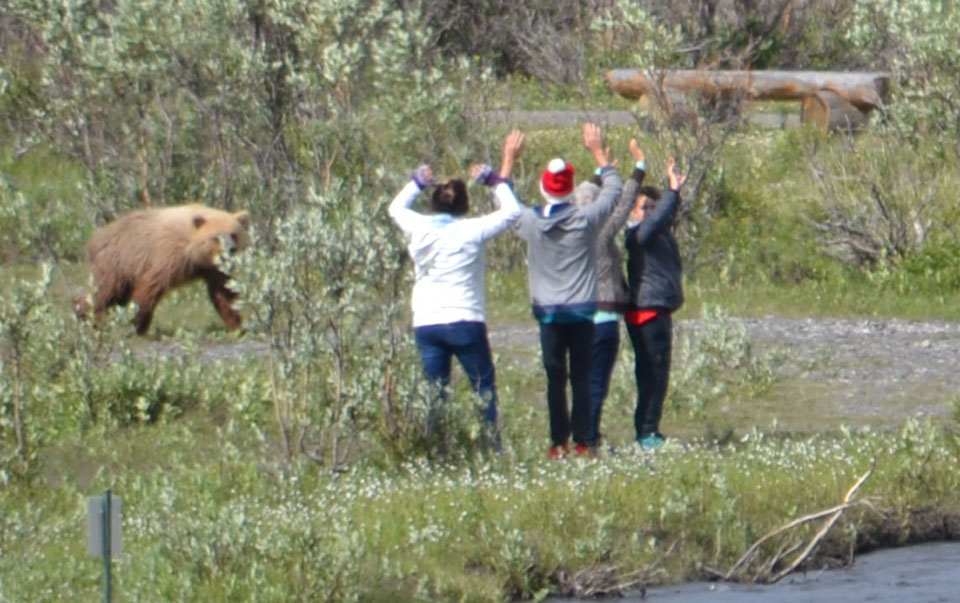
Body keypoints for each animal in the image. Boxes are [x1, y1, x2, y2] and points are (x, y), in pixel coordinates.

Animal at [77, 204, 250, 335]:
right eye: (216, 236)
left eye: (233, 234)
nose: (231, 250)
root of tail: (94, 239)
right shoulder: (168, 254)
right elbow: (151, 285)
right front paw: (137, 324)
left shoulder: (213, 268)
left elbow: (225, 292)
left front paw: (238, 323)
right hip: (117, 262)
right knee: (104, 290)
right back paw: (83, 313)